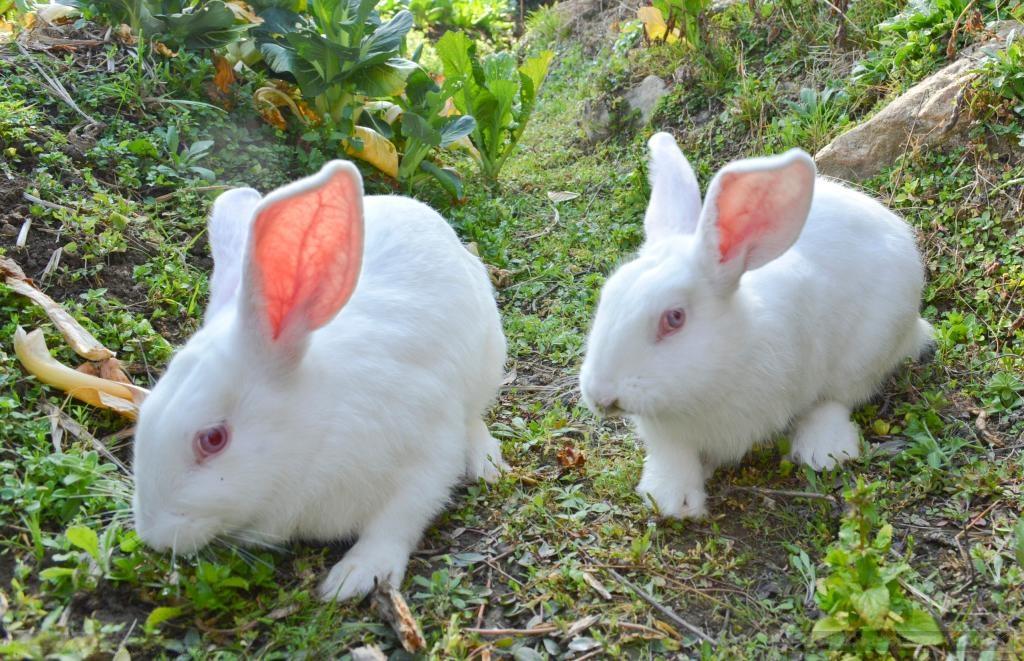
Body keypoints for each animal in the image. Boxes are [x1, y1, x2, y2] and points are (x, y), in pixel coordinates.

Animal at [132, 160, 508, 601]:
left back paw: (485, 462)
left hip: (487, 361)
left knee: (474, 417)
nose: (154, 536)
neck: (318, 429)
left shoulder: (427, 456)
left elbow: (399, 519)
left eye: (213, 439)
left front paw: (355, 576)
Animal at [579, 132, 932, 519]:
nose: (600, 396)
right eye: (607, 295)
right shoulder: (667, 435)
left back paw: (824, 451)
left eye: (674, 318)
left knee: (838, 398)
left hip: (868, 347)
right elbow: (674, 458)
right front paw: (671, 500)